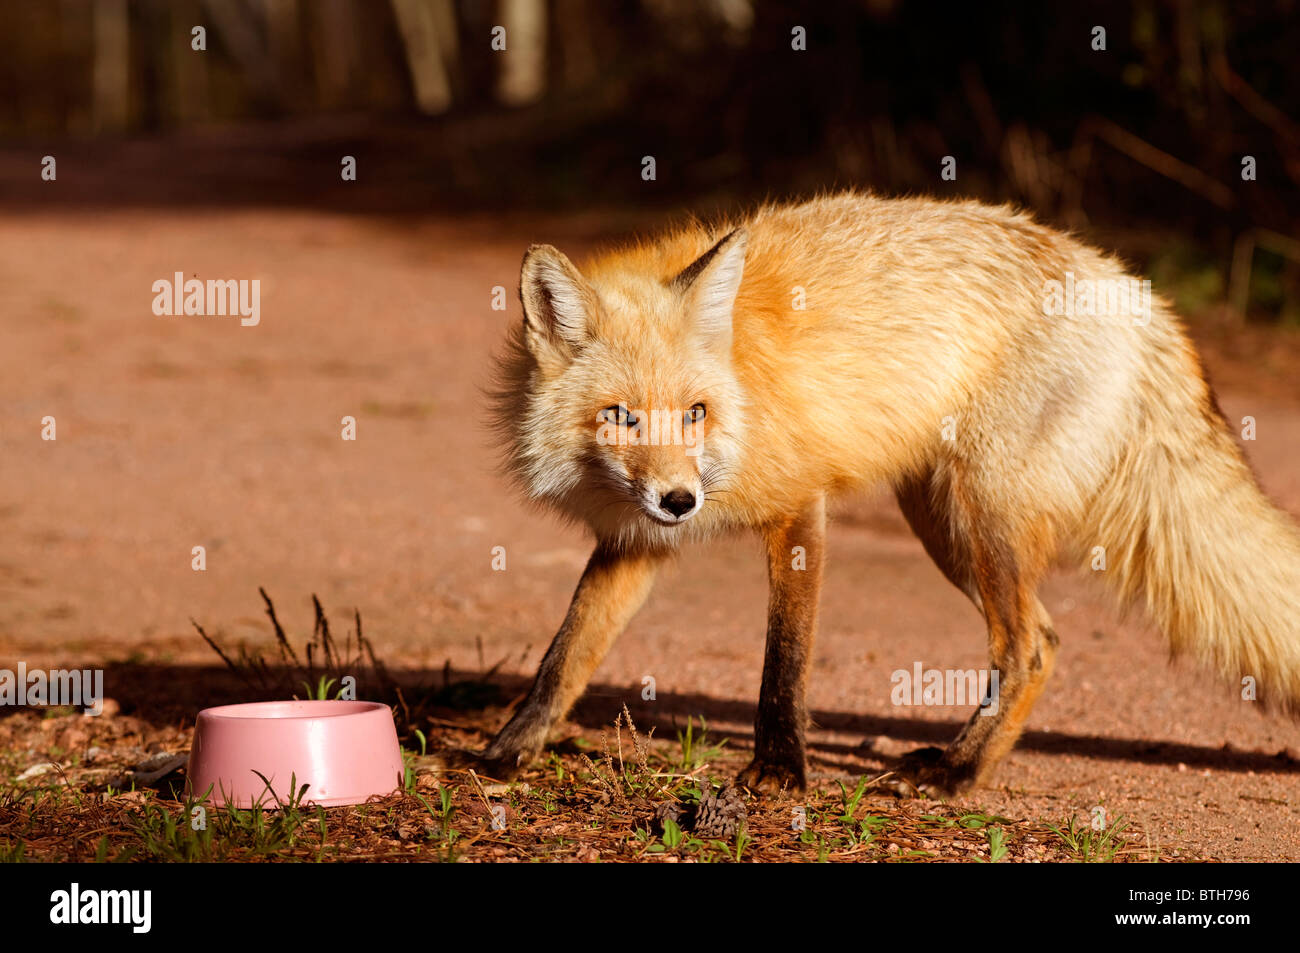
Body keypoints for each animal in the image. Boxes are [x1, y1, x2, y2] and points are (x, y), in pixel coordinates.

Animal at [470, 191, 1300, 796]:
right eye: (621, 415)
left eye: (695, 412)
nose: (682, 502)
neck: (740, 392)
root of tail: (1134, 287)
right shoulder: (635, 541)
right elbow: (568, 650)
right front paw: (511, 748)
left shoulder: (798, 507)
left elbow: (784, 663)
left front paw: (779, 771)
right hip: (944, 526)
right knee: (1049, 636)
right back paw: (966, 761)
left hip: (984, 517)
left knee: (1029, 647)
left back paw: (959, 774)